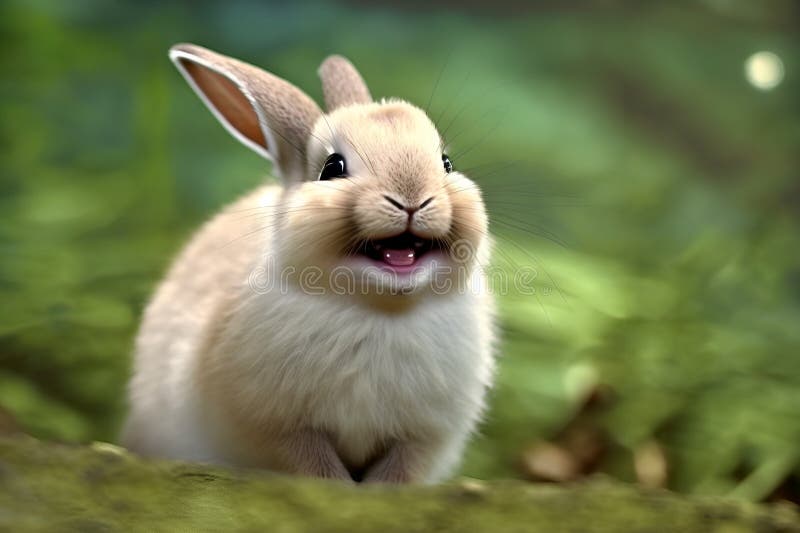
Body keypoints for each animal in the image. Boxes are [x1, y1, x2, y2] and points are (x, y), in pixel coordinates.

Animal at [121, 43, 496, 484]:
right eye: (332, 168)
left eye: (446, 163)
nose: (412, 196)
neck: (380, 308)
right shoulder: (279, 429)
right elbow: (316, 469)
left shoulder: (420, 439)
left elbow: (396, 475)